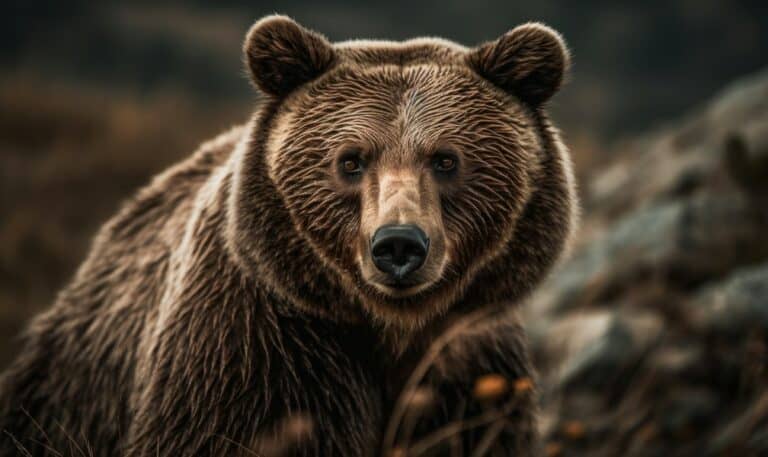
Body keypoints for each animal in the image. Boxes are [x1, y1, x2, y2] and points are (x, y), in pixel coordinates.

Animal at [0, 15, 576, 457]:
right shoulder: (257, 353)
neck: (390, 329)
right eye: (350, 160)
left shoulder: (469, 369)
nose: (398, 245)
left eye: (445, 159)